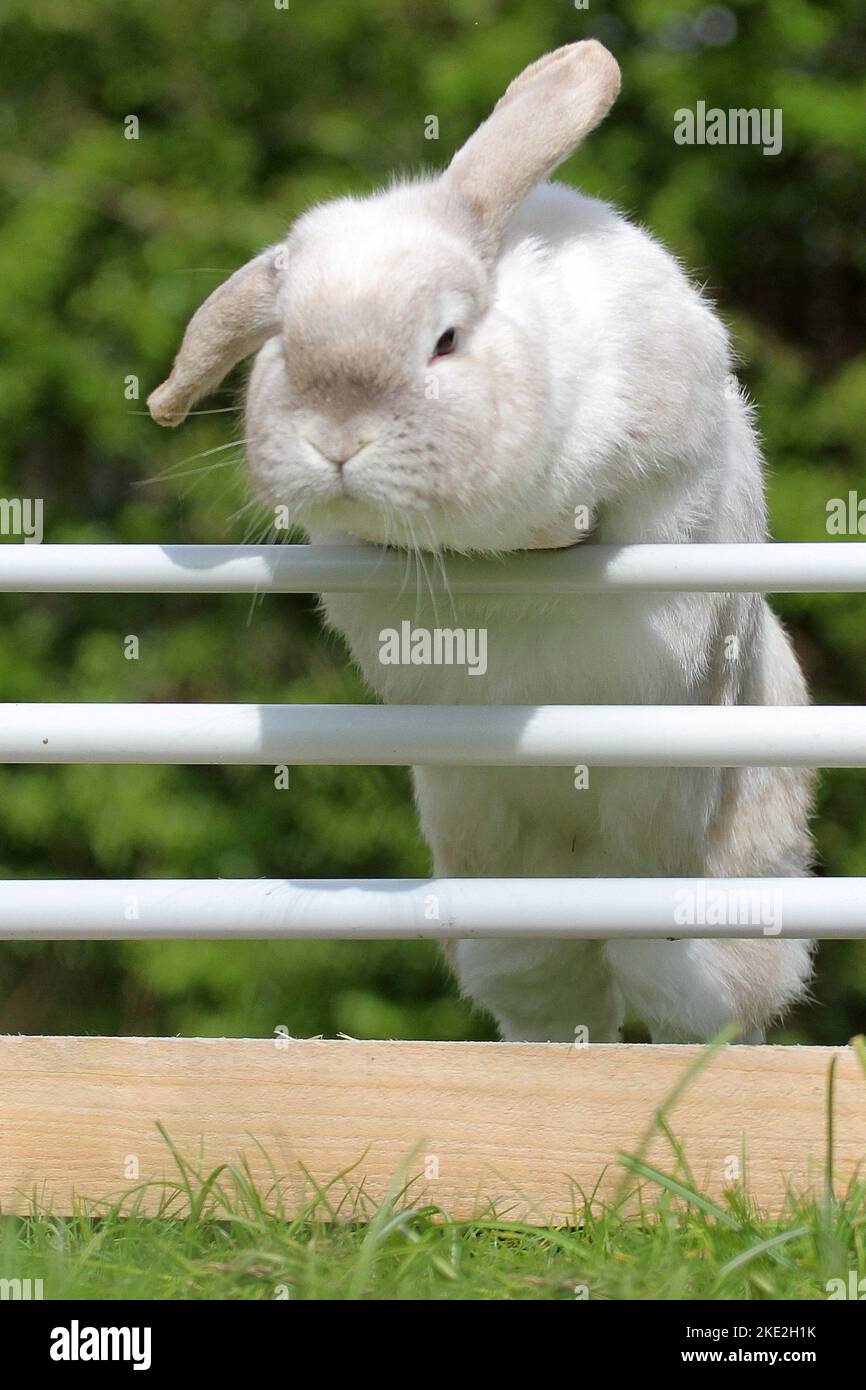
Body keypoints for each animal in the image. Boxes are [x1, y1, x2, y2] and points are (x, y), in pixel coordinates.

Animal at [148, 40, 815, 1044]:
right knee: (558, 1012)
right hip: (507, 925)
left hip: (712, 914)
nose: (336, 443)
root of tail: (592, 897)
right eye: (283, 347)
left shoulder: (670, 440)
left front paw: (560, 529)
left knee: (695, 1012)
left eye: (446, 340)